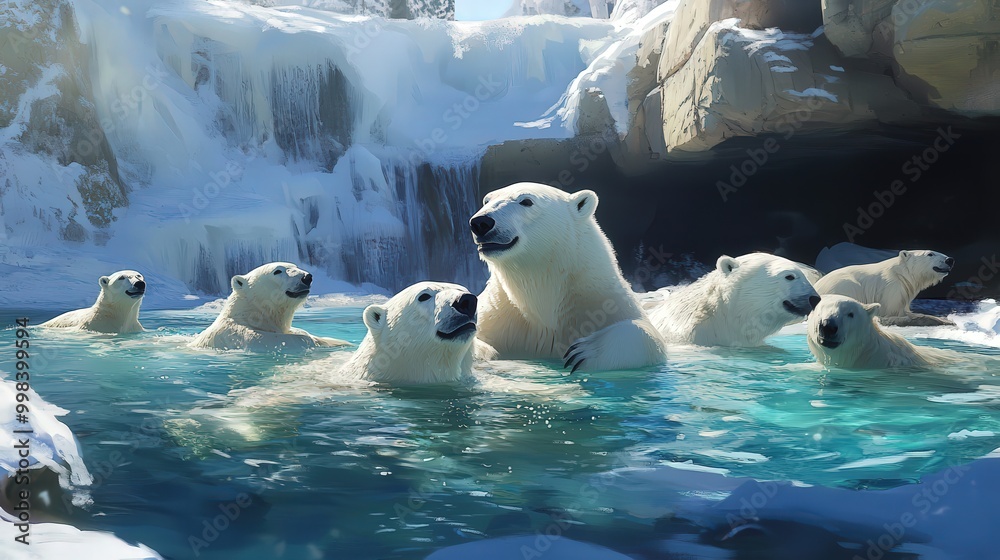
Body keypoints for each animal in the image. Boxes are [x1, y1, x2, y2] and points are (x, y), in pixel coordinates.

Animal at [469, 182, 667, 373]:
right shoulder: (499, 315)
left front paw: (583, 352)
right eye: (486, 200)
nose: (481, 222)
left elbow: (649, 337)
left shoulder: (603, 300)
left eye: (526, 201)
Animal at [814, 249, 955, 327]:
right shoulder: (891, 287)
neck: (902, 273)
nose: (950, 259)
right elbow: (891, 312)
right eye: (930, 254)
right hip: (845, 285)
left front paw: (947, 320)